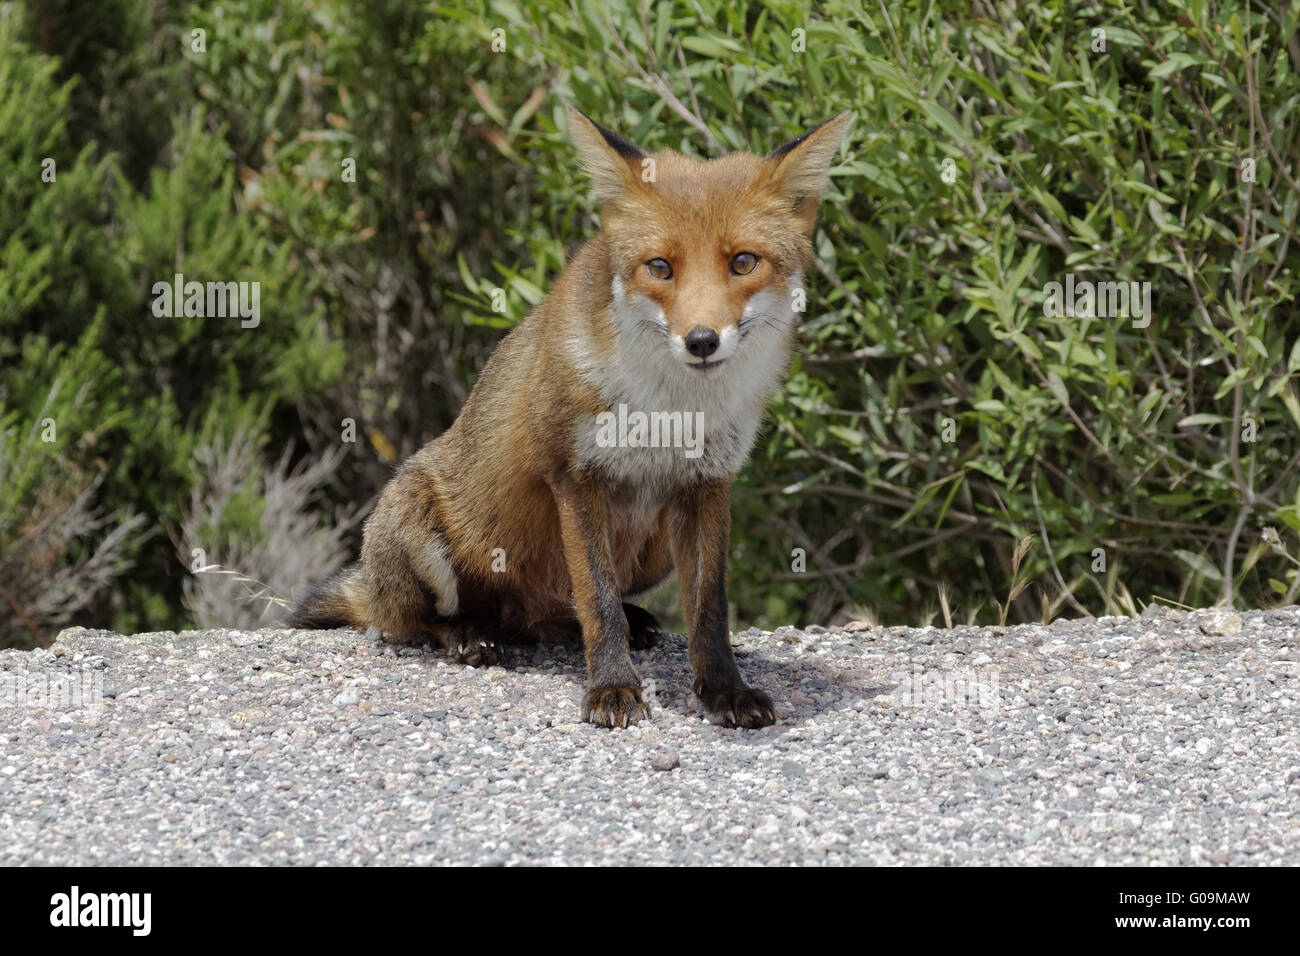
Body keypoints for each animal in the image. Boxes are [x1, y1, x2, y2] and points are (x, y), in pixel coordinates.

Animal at [288, 106, 852, 729]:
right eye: (660, 267)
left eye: (744, 262)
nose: (702, 340)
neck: (672, 411)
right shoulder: (575, 476)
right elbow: (599, 600)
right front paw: (612, 688)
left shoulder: (707, 484)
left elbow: (708, 611)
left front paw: (724, 690)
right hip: (415, 526)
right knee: (414, 622)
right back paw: (468, 634)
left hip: (651, 553)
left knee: (550, 616)